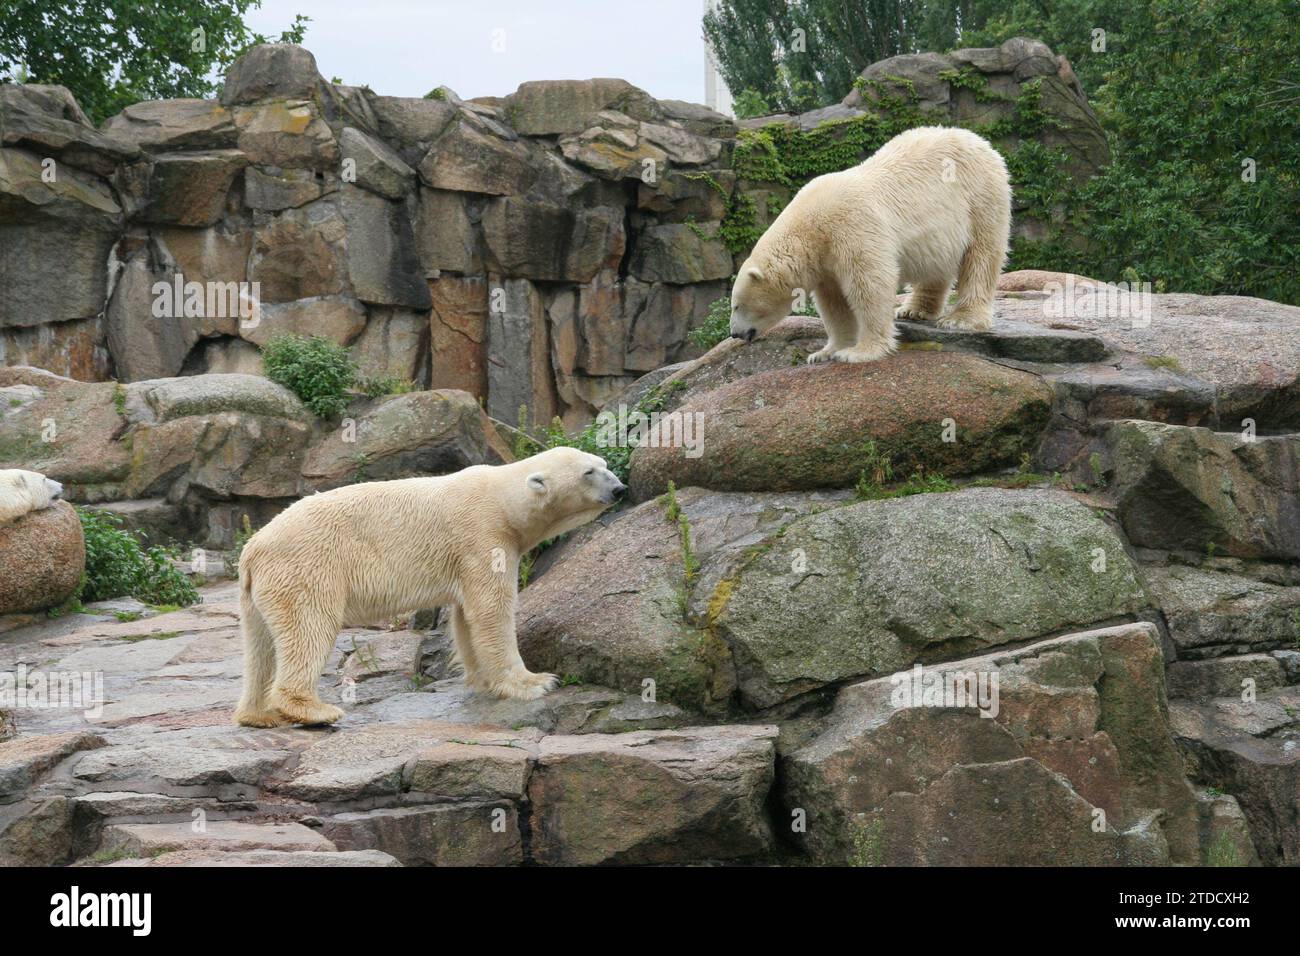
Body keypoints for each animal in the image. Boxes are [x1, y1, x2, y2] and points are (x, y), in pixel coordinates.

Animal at [234, 446, 626, 727]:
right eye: (588, 472)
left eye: (603, 463)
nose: (620, 488)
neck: (502, 499)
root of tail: (253, 548)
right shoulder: (483, 535)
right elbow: (492, 609)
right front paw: (536, 682)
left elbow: (467, 617)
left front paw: (482, 679)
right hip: (307, 566)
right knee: (308, 627)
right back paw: (314, 710)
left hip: (261, 588)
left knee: (261, 643)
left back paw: (258, 715)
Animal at [729, 126, 1011, 363]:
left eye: (736, 305)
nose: (734, 334)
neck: (810, 228)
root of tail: (980, 141)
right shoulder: (824, 261)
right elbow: (834, 304)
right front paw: (824, 352)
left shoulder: (851, 227)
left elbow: (870, 285)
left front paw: (860, 352)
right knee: (935, 264)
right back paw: (914, 310)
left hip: (981, 198)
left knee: (981, 257)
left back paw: (962, 319)